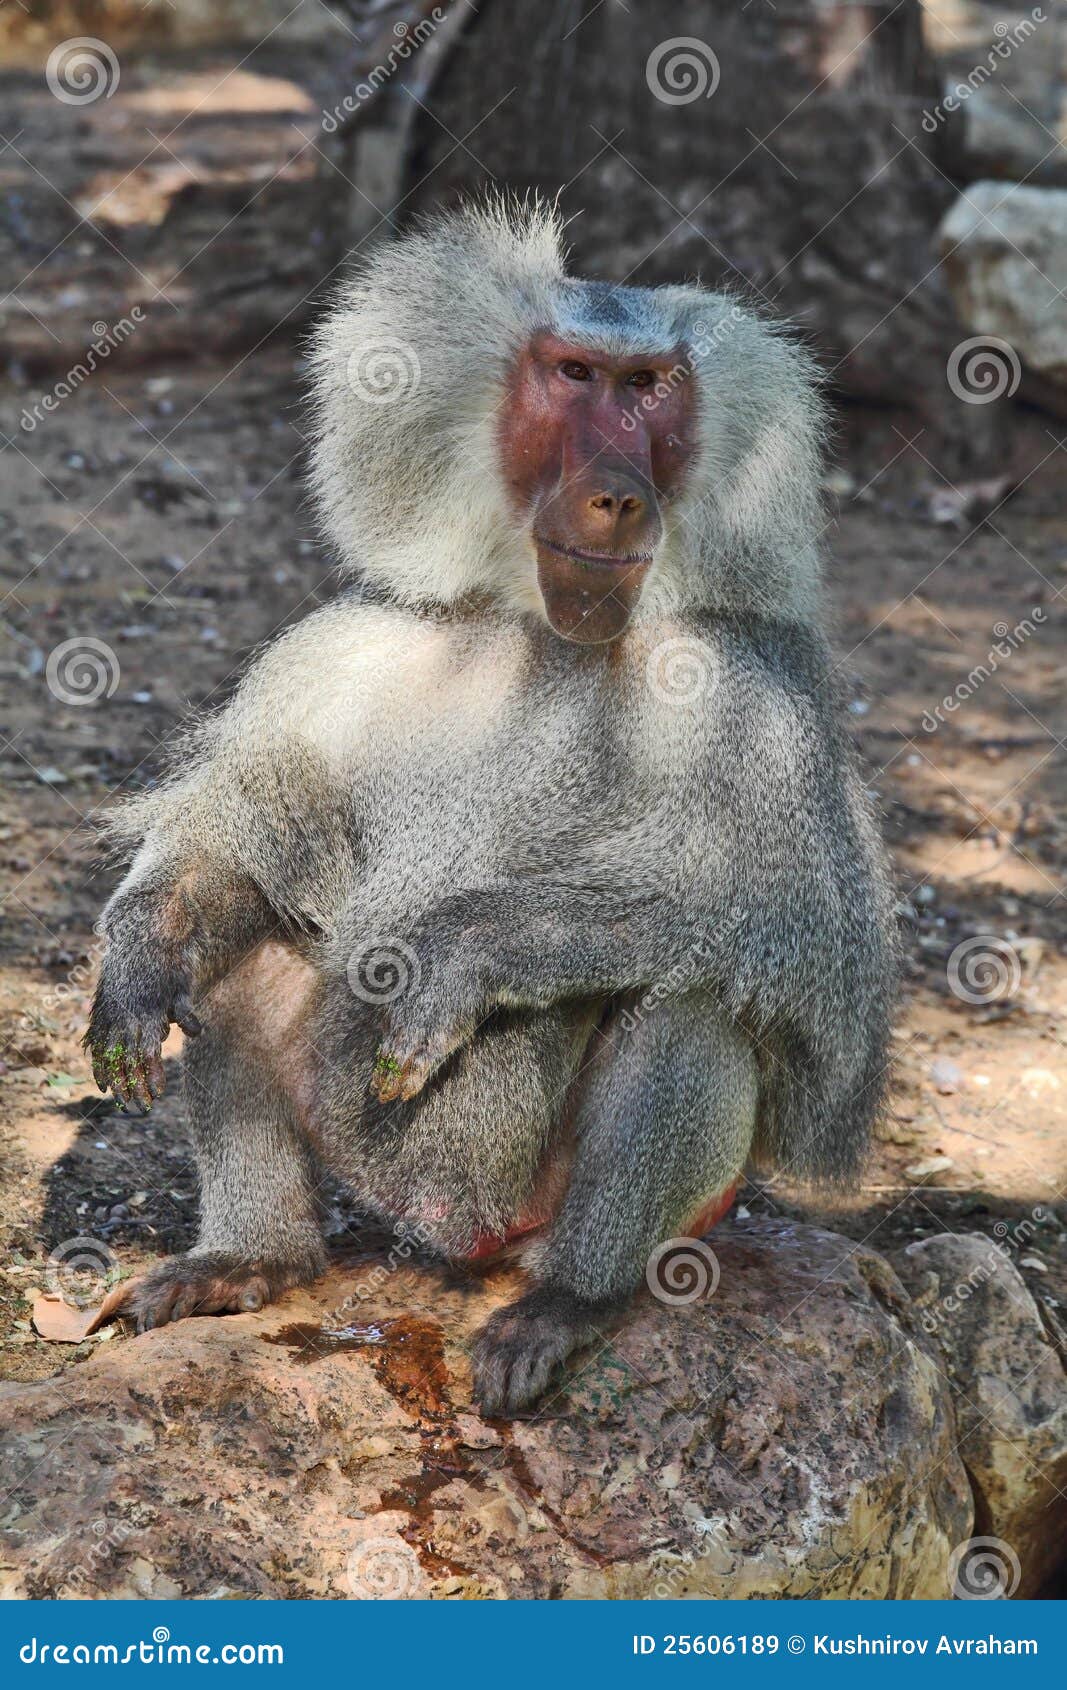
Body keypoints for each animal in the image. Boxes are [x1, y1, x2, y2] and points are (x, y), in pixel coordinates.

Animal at [86, 196, 896, 1415]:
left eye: (649, 387)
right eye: (574, 375)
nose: (618, 494)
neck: (541, 631)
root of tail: (452, 1238)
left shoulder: (757, 700)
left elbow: (797, 962)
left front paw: (464, 952)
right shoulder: (343, 646)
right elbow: (235, 862)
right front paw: (136, 960)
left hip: (575, 1211)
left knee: (692, 998)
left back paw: (570, 1303)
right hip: (366, 1160)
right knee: (235, 965)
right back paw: (251, 1260)